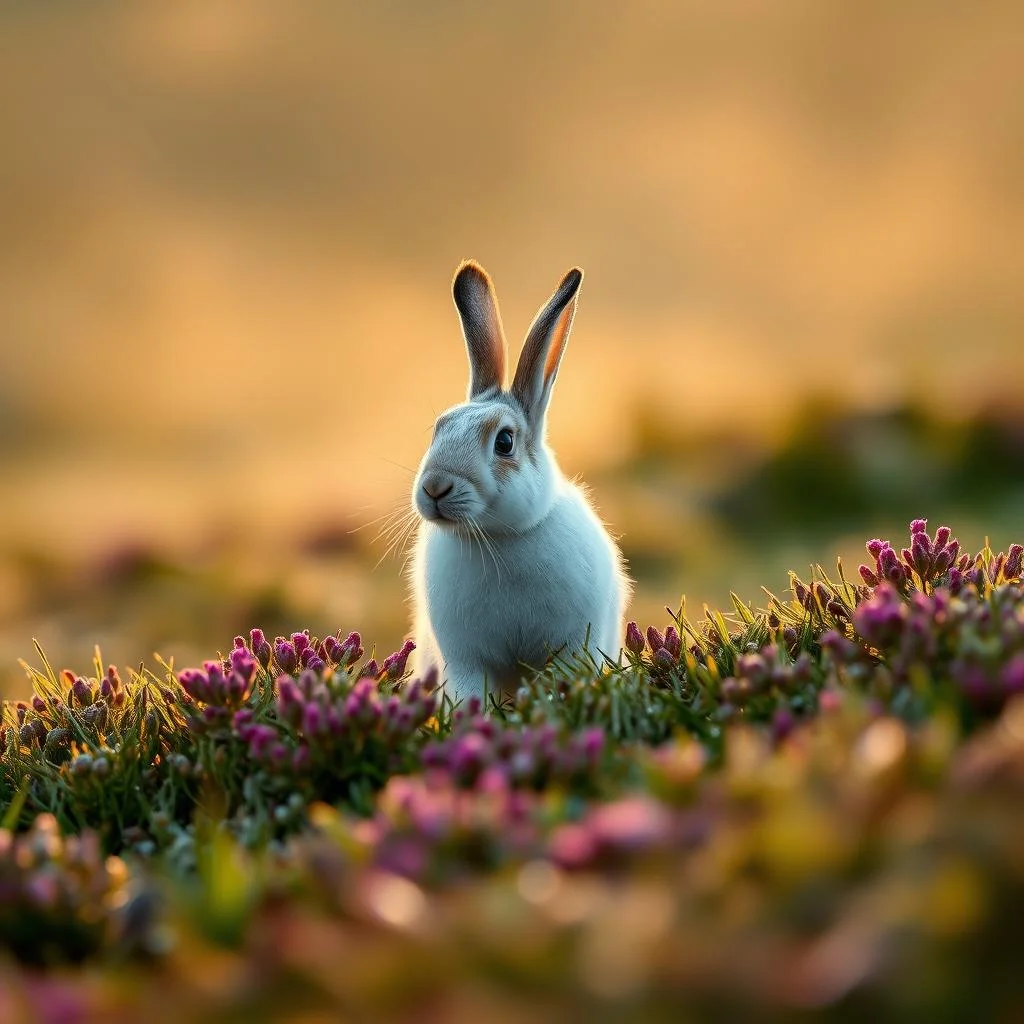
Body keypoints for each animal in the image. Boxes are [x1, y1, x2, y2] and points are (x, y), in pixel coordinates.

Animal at [409, 259, 631, 703]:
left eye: (504, 441)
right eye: (439, 428)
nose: (435, 487)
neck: (499, 537)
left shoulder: (571, 644)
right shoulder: (465, 659)